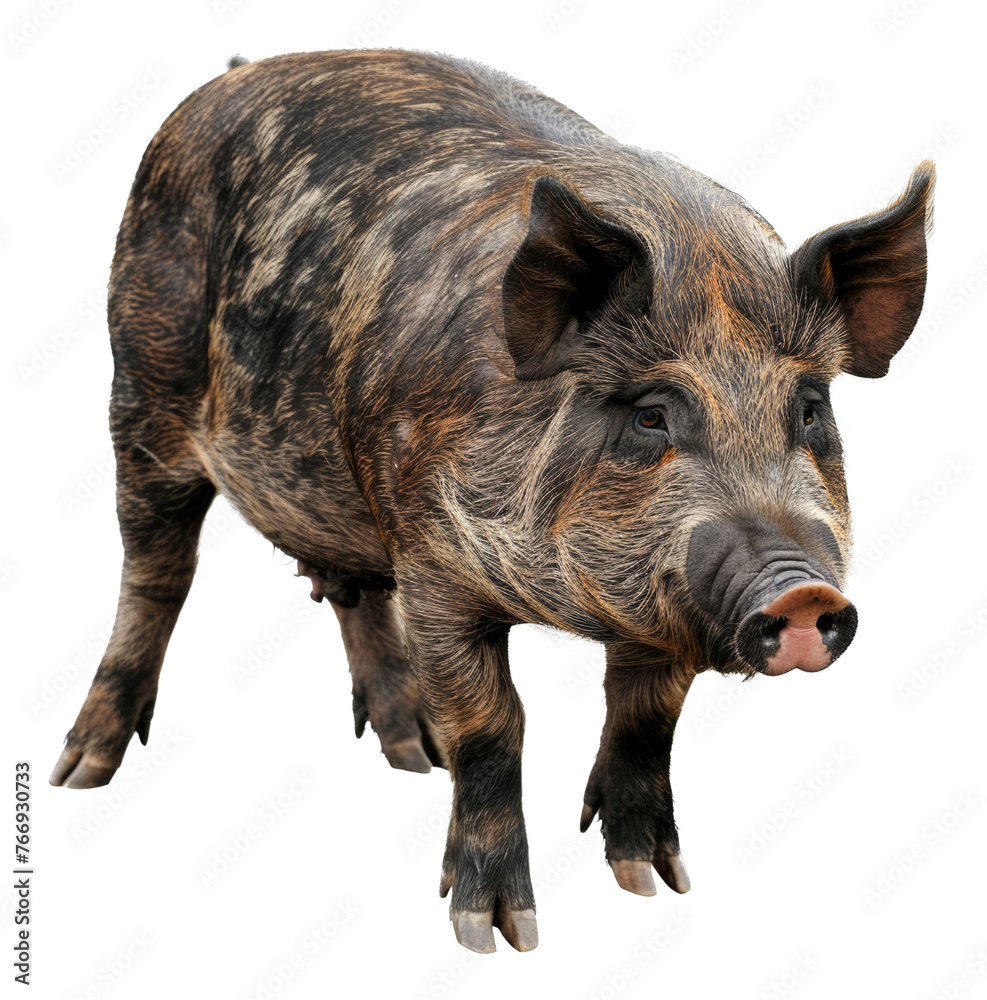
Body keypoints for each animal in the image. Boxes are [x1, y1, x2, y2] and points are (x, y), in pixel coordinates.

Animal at [50, 49, 934, 953]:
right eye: (650, 415)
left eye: (809, 409)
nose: (801, 592)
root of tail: (230, 76)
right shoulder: (435, 564)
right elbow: (492, 725)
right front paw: (497, 932)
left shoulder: (660, 604)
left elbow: (647, 720)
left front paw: (654, 884)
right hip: (141, 394)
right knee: (155, 575)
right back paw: (79, 775)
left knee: (351, 597)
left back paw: (412, 755)